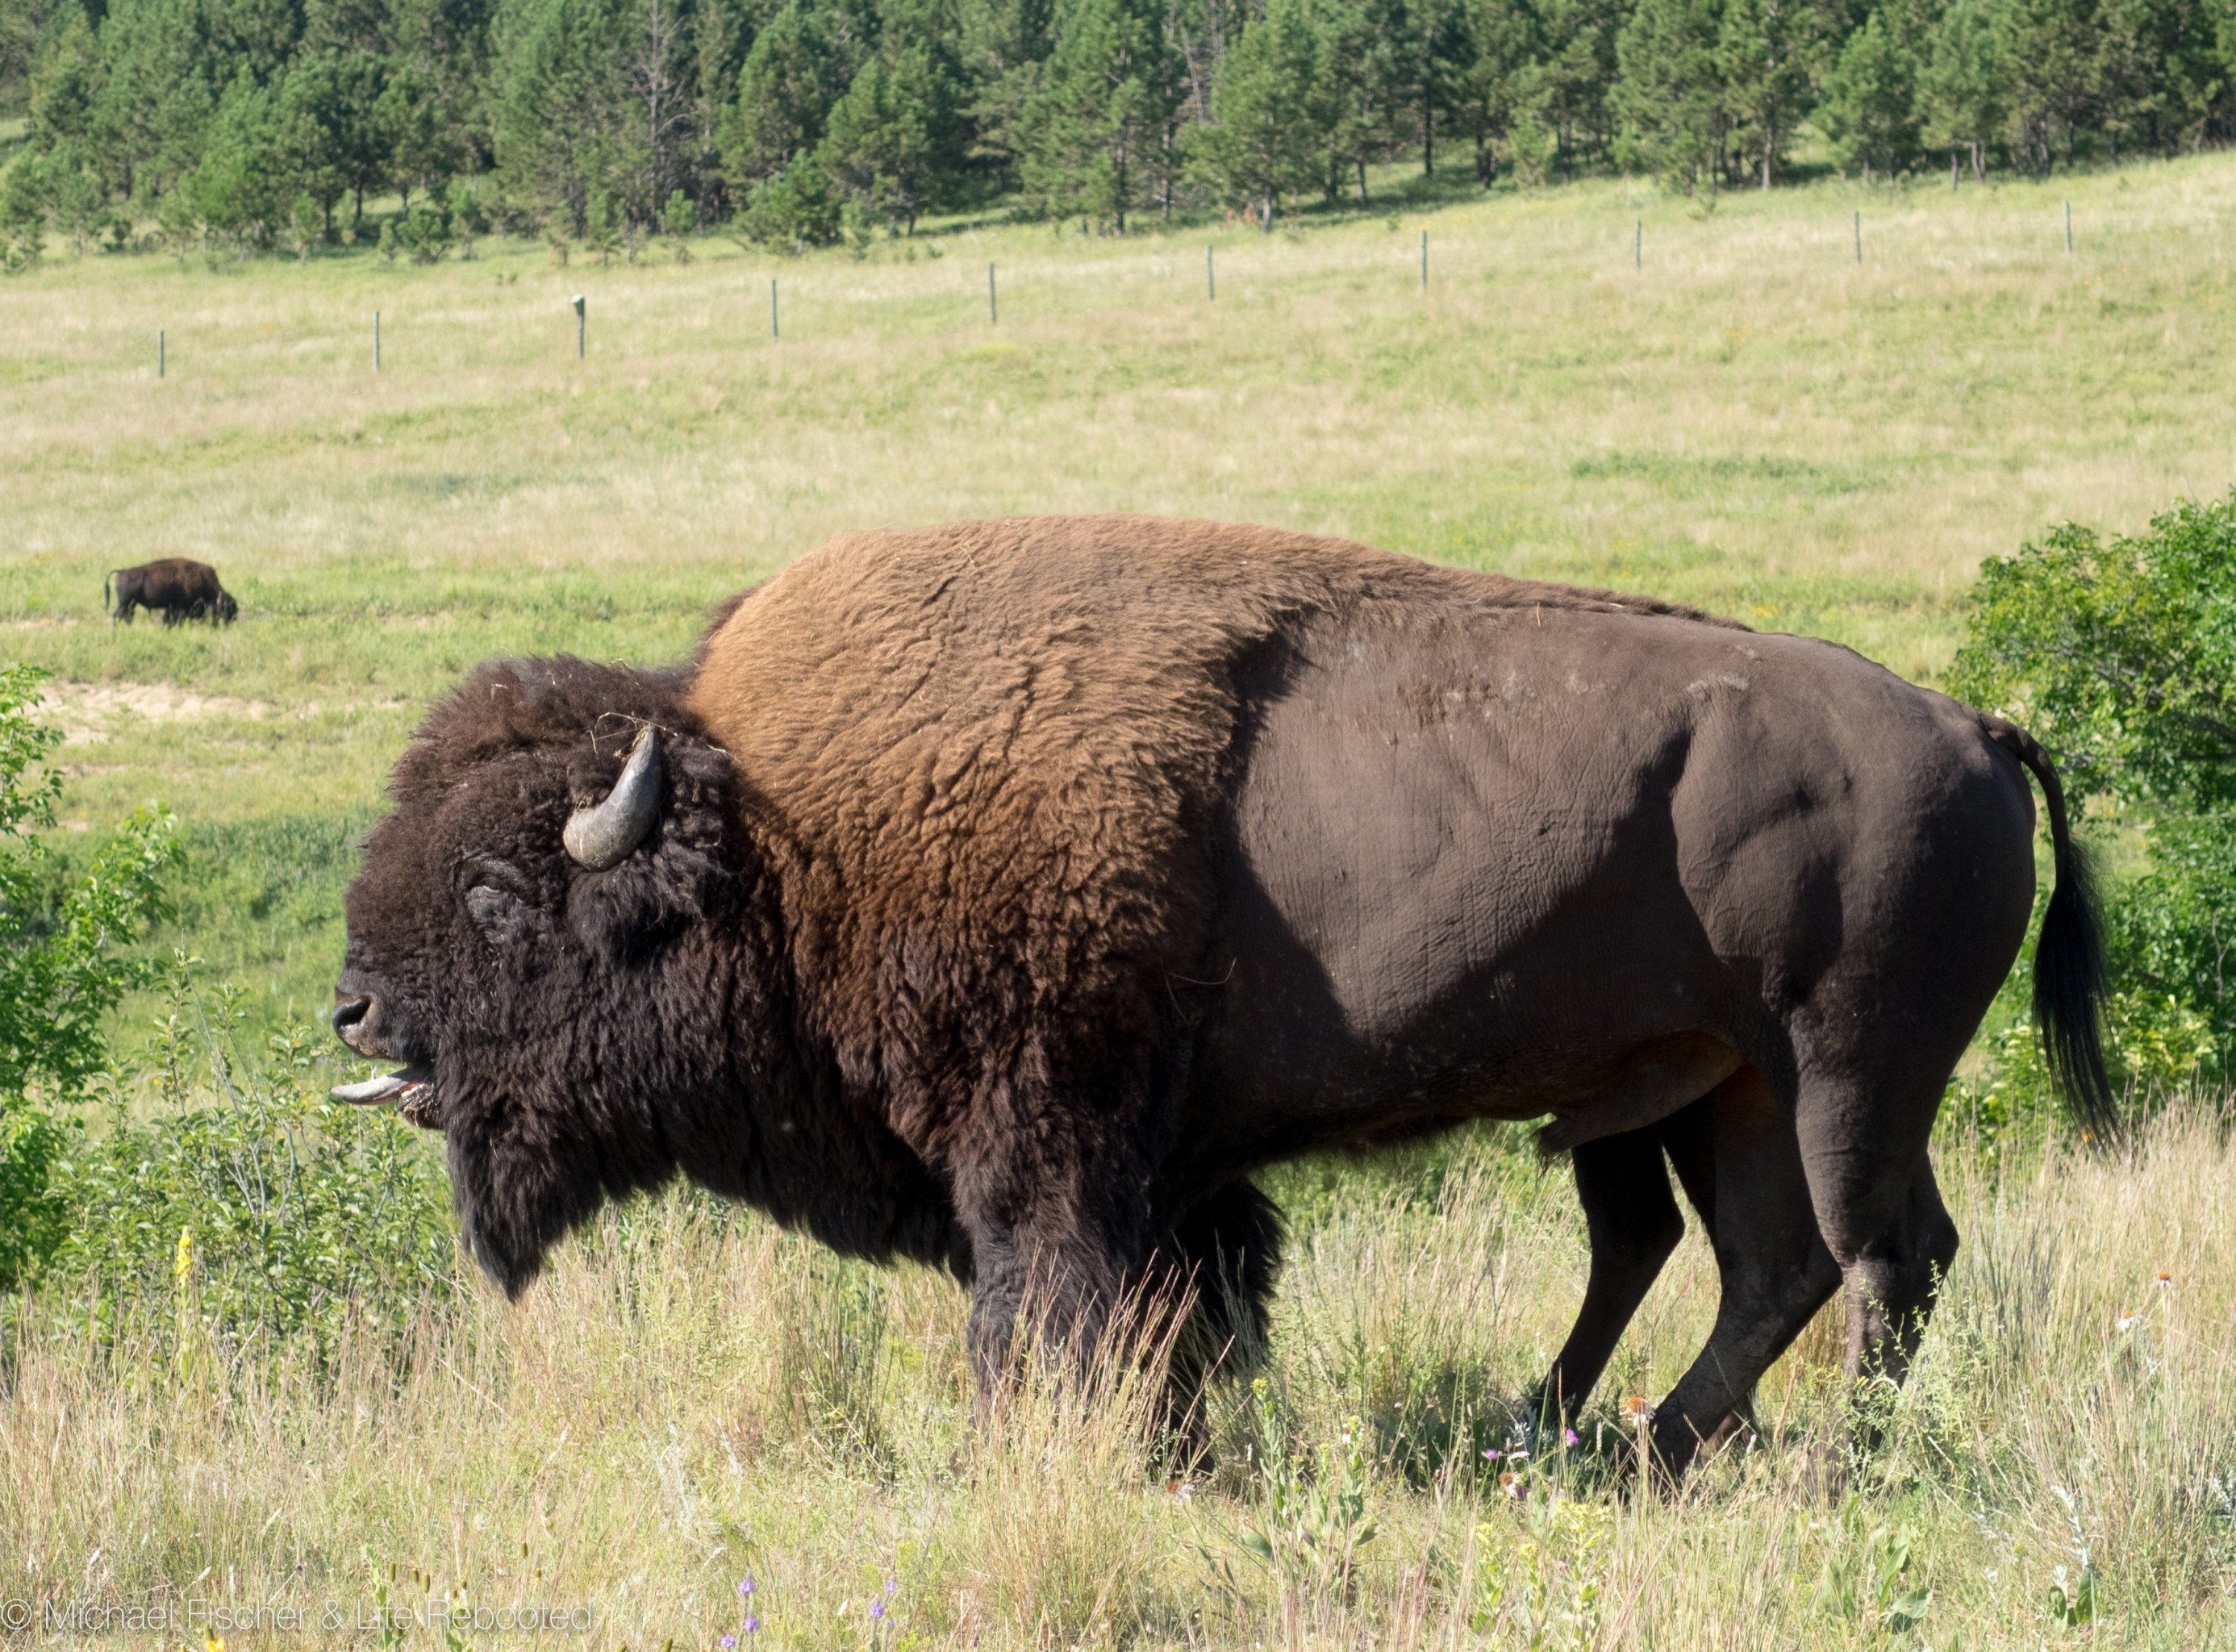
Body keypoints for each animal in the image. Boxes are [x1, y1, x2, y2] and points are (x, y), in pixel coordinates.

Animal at [107, 558, 239, 626]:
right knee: (117, 615)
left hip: (131, 604)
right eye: (226, 608)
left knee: (126, 616)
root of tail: (121, 572)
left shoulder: (172, 607)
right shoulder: (181, 607)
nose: (232, 621)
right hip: (125, 603)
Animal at [331, 516, 2111, 1474]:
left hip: (1846, 1067)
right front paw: (1174, 1451)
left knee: (1874, 1256)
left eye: (494, 894)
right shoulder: (1171, 1176)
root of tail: (1973, 726)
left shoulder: (1042, 1146)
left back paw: (1808, 1455)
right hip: (1717, 1079)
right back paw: (1635, 1445)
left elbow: (1037, 1313)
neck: (782, 835)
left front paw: (1022, 1453)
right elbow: (1179, 1313)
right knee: (1775, 1259)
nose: (355, 1014)